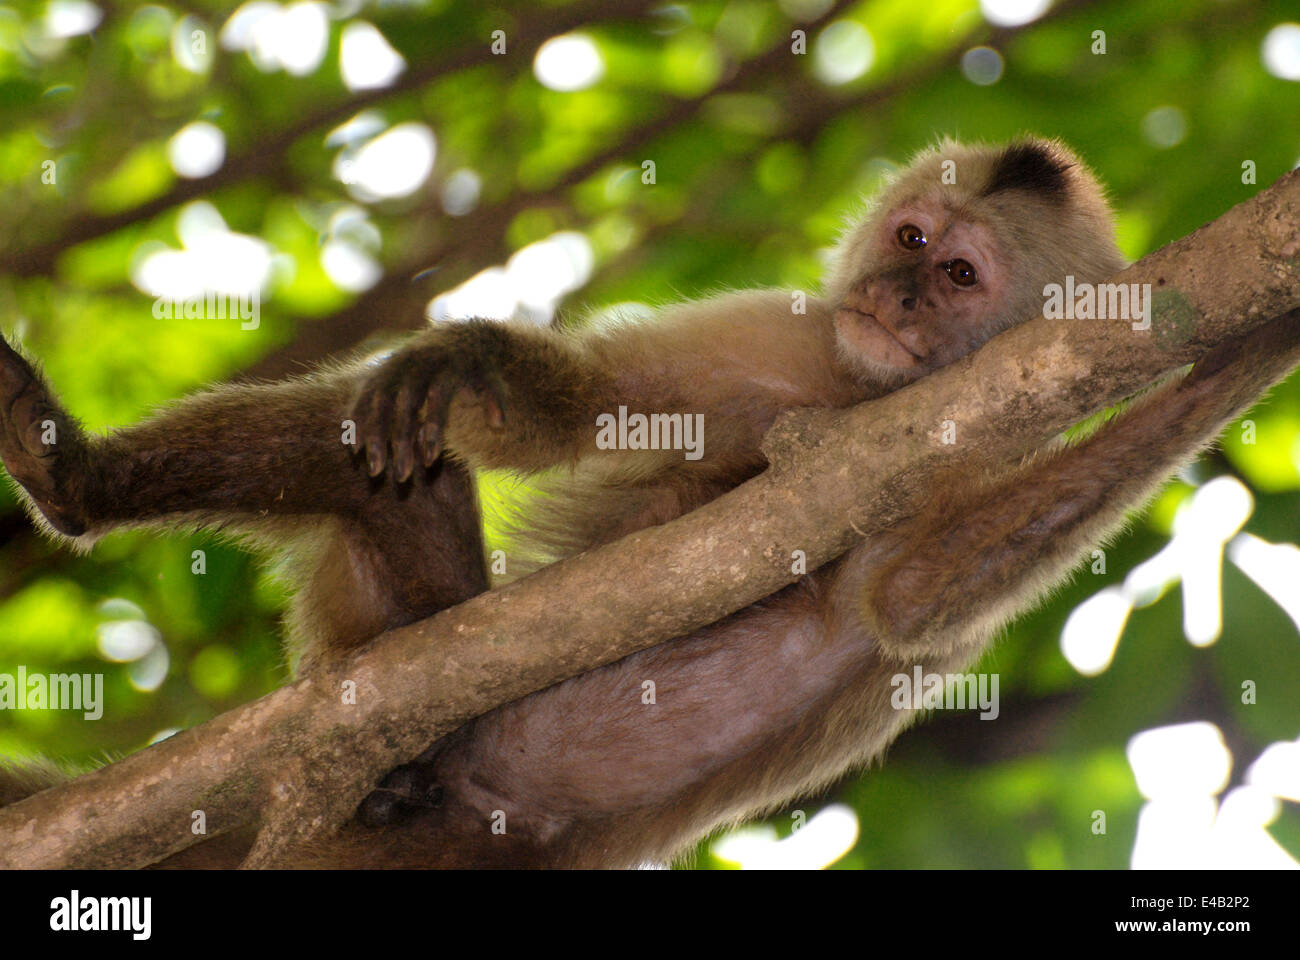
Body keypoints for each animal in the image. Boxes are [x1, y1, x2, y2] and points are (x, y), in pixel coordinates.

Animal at [2, 136, 1298, 868]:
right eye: (909, 235)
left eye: (959, 275)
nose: (893, 296)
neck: (859, 388)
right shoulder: (779, 338)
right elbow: (582, 402)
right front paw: (470, 364)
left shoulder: (983, 431)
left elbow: (911, 593)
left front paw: (1250, 351)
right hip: (378, 641)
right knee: (376, 459)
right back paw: (79, 483)